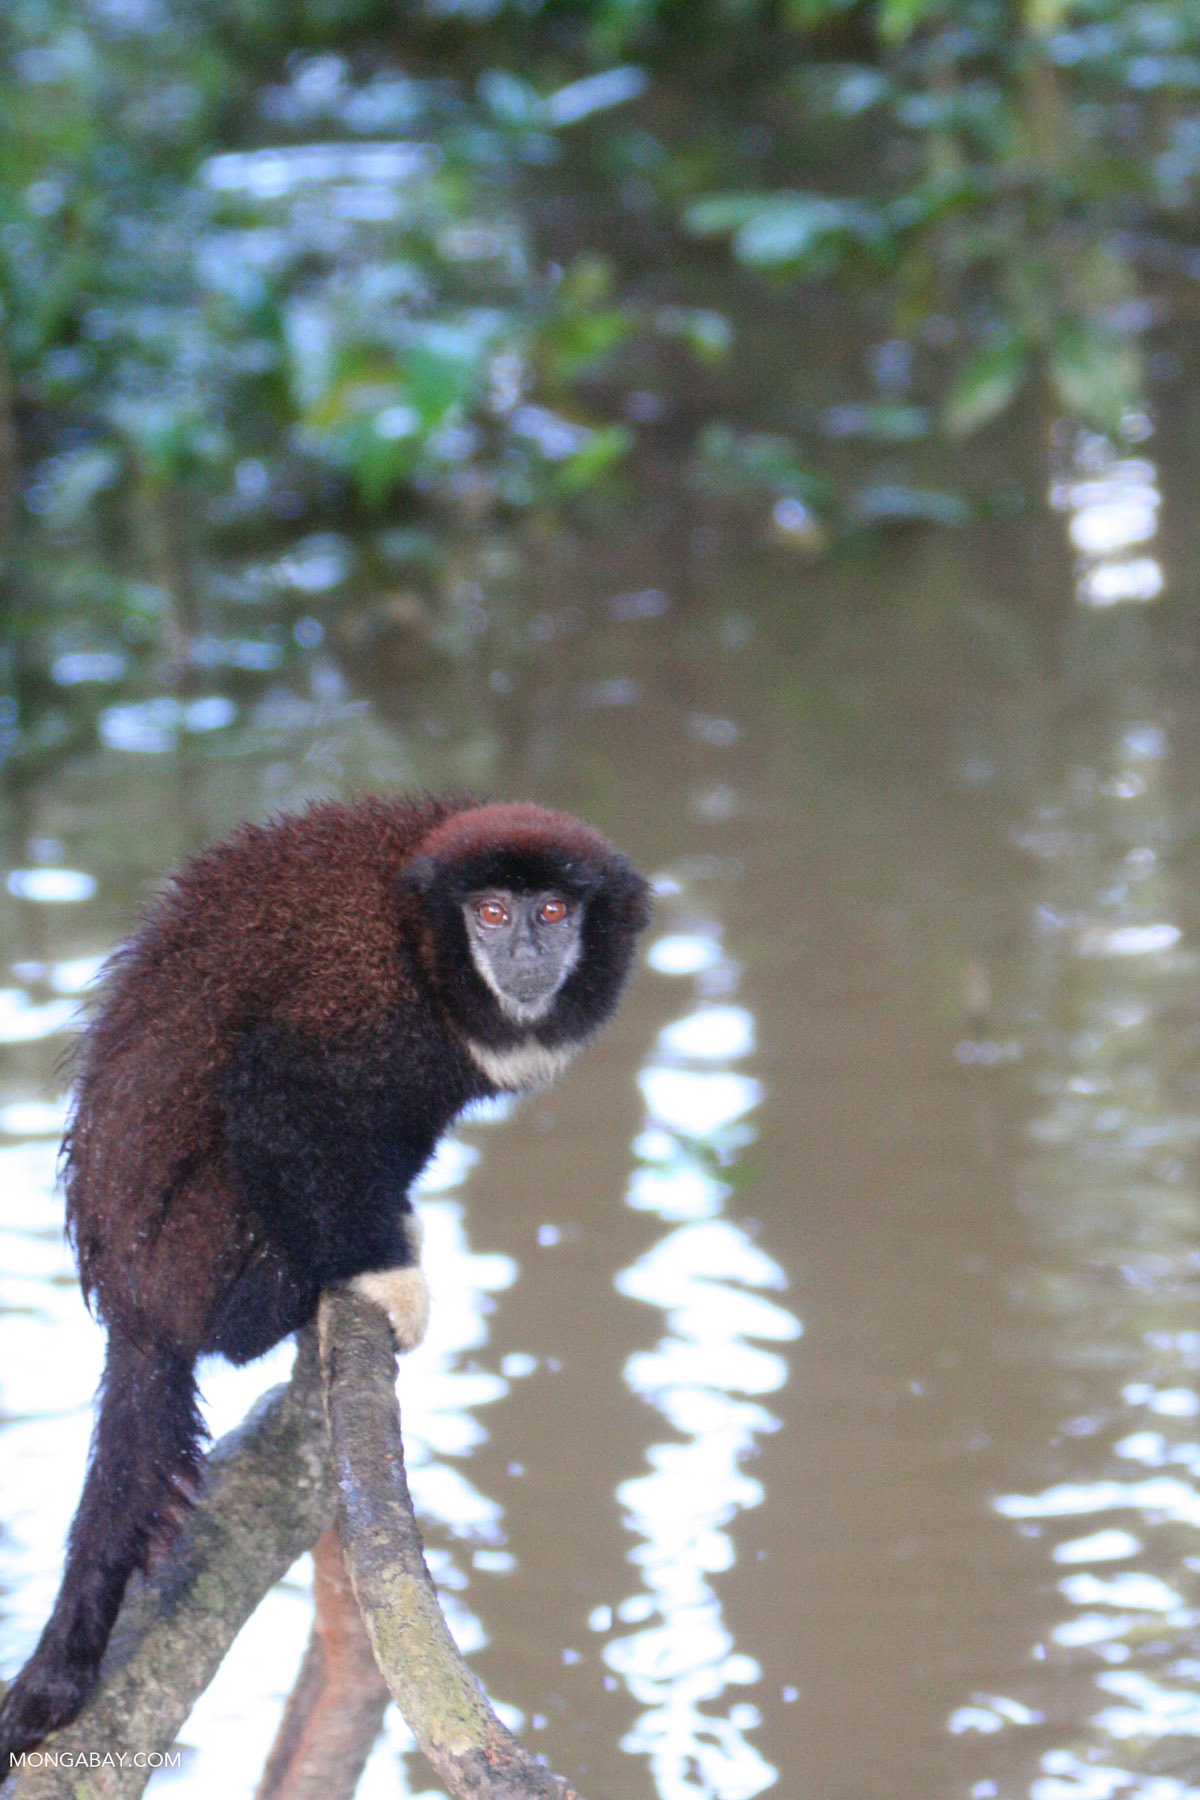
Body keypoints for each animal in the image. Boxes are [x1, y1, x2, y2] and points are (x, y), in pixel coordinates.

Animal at [0, 795, 651, 1766]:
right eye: (493, 914)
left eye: (553, 911)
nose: (528, 952)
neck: (424, 950)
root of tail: (130, 1299)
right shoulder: (363, 997)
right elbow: (281, 1088)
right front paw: (381, 1274)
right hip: (205, 1245)